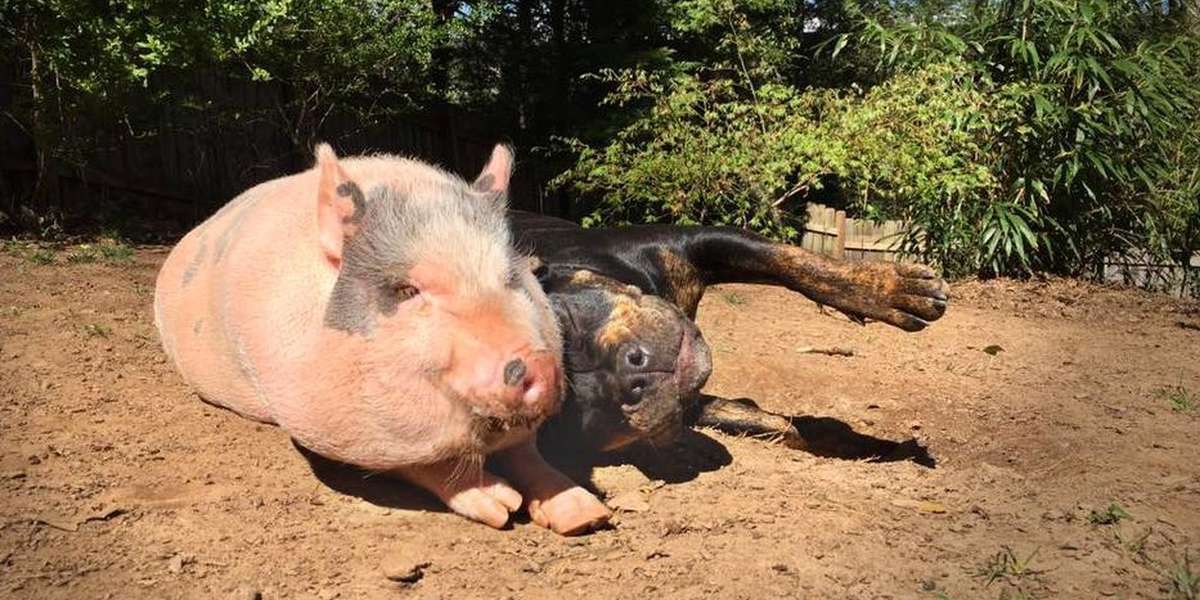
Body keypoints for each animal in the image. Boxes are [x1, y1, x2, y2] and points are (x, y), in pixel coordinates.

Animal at [153, 144, 611, 535]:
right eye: (408, 291)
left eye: (511, 279)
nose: (538, 363)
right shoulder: (328, 426)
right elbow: (418, 465)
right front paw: (504, 506)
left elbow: (528, 453)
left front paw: (588, 517)